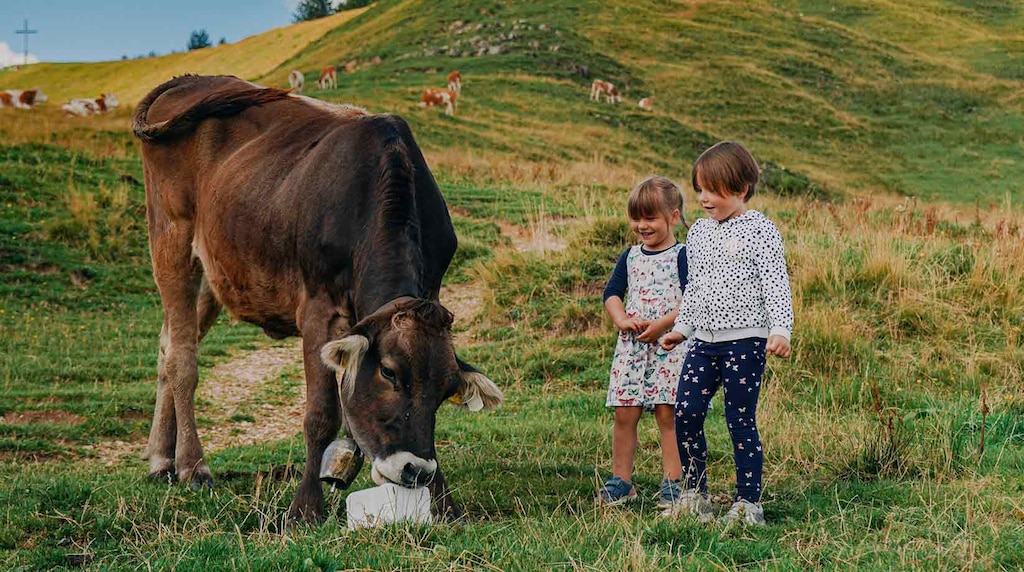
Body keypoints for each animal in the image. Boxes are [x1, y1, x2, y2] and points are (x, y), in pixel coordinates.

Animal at [131, 74, 501, 524]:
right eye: (389, 372)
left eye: (448, 388)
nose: (414, 470)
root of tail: (188, 81)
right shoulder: (319, 308)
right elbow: (321, 414)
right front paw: (305, 507)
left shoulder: (430, 287)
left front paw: (443, 500)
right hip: (170, 238)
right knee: (183, 358)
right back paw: (191, 465)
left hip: (215, 270)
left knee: (167, 346)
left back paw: (160, 459)